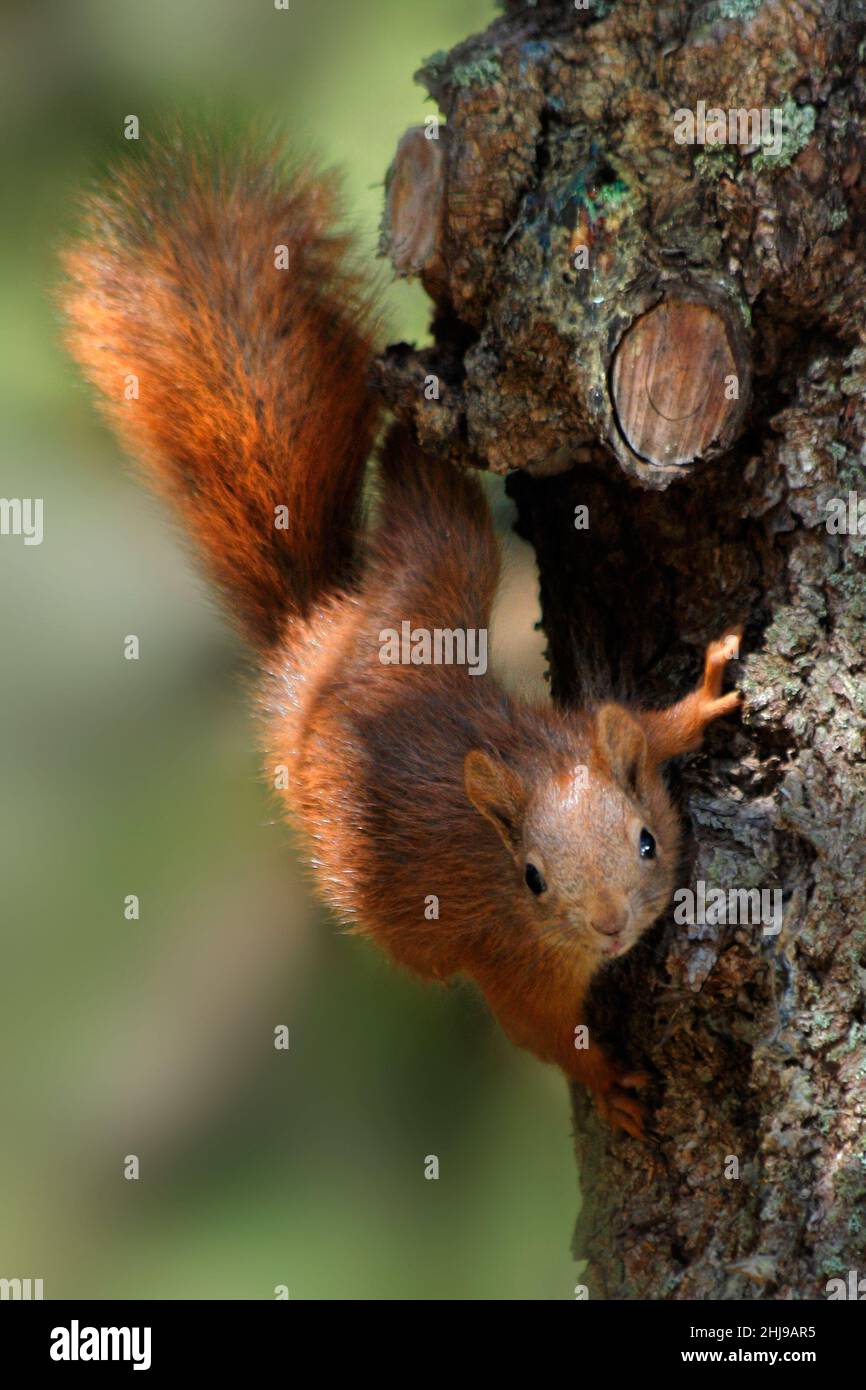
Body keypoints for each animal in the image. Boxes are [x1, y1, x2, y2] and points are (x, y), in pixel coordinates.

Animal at [62, 133, 741, 1139]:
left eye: (648, 842)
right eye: (532, 880)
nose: (612, 925)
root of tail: (313, 641)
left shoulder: (587, 730)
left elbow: (652, 728)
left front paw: (705, 693)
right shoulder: (511, 959)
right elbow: (542, 1036)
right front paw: (610, 1083)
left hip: (436, 580)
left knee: (433, 504)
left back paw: (422, 404)